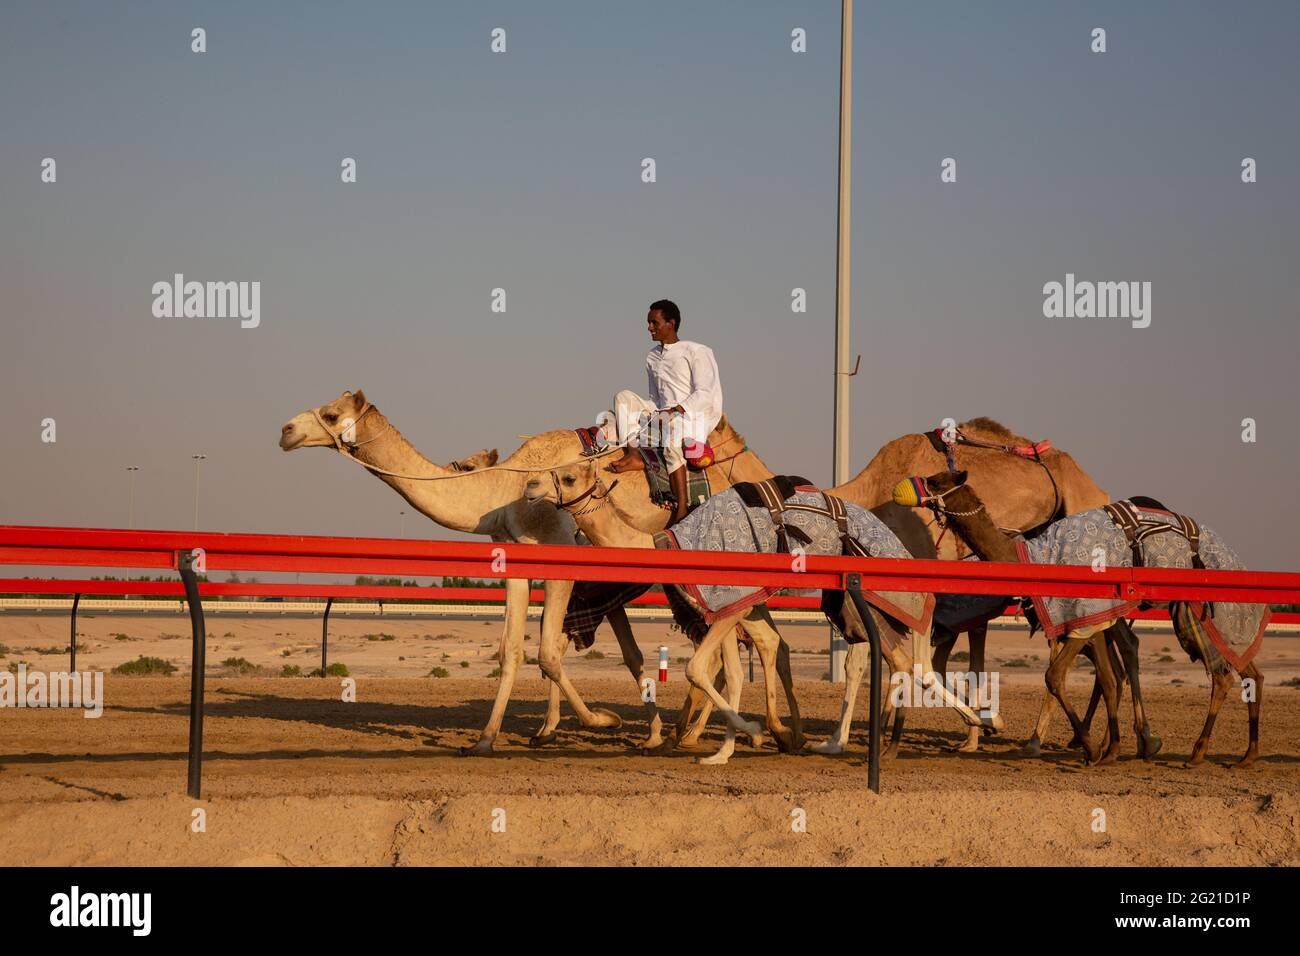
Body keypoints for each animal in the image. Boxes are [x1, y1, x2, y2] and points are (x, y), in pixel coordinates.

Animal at [898, 470, 1266, 767]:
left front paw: (1089, 748)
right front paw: (1109, 749)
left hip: (1199, 609)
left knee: (1221, 673)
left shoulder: (1083, 617)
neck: (1032, 556)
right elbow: (1106, 678)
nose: (907, 485)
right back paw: (1243, 755)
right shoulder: (1091, 621)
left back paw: (1197, 752)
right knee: (1244, 670)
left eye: (936, 481)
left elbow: (1056, 677)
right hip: (1190, 613)